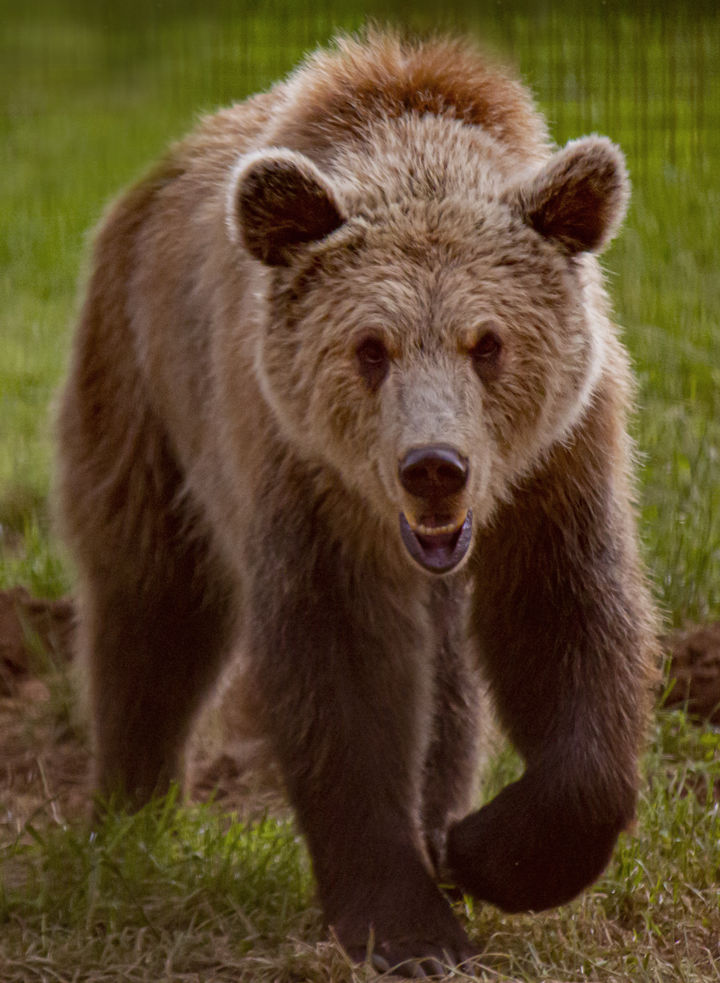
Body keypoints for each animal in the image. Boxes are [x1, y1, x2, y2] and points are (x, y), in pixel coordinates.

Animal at [56, 29, 658, 976]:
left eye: (489, 343)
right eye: (370, 347)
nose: (434, 467)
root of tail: (150, 178)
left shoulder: (558, 462)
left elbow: (567, 619)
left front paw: (480, 849)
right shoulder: (299, 469)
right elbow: (341, 671)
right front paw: (409, 923)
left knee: (446, 679)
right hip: (143, 385)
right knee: (152, 601)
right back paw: (129, 807)